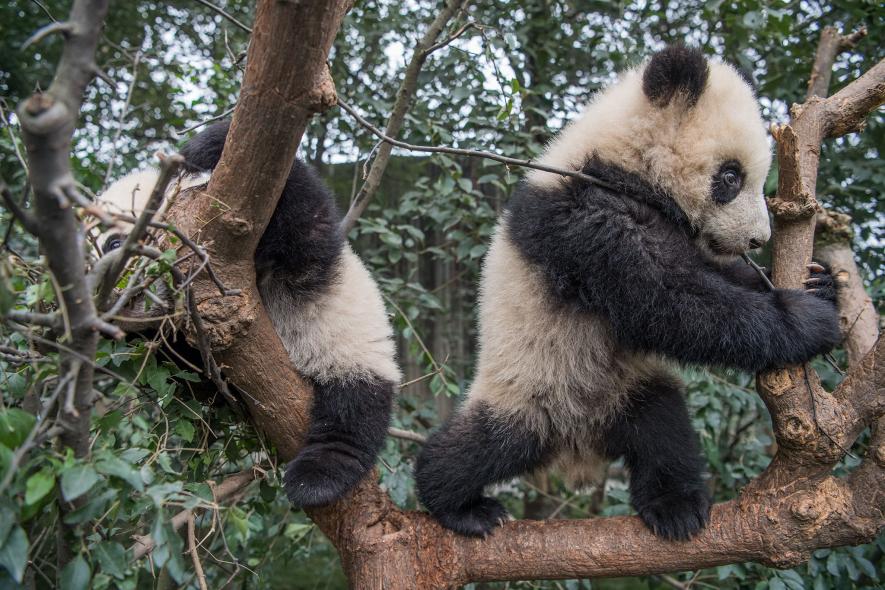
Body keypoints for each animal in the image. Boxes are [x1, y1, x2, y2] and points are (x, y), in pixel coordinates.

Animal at [97, 120, 401, 508]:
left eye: (113, 243)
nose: (114, 299)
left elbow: (302, 213)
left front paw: (202, 147)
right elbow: (190, 372)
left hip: (352, 350)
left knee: (352, 411)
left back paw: (317, 478)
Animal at [414, 46, 841, 540]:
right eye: (731, 177)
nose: (758, 239)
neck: (617, 158)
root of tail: (578, 446)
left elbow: (708, 278)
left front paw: (823, 283)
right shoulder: (582, 219)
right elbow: (666, 302)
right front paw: (807, 319)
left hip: (628, 387)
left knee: (665, 430)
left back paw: (675, 507)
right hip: (529, 388)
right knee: (481, 446)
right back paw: (458, 504)